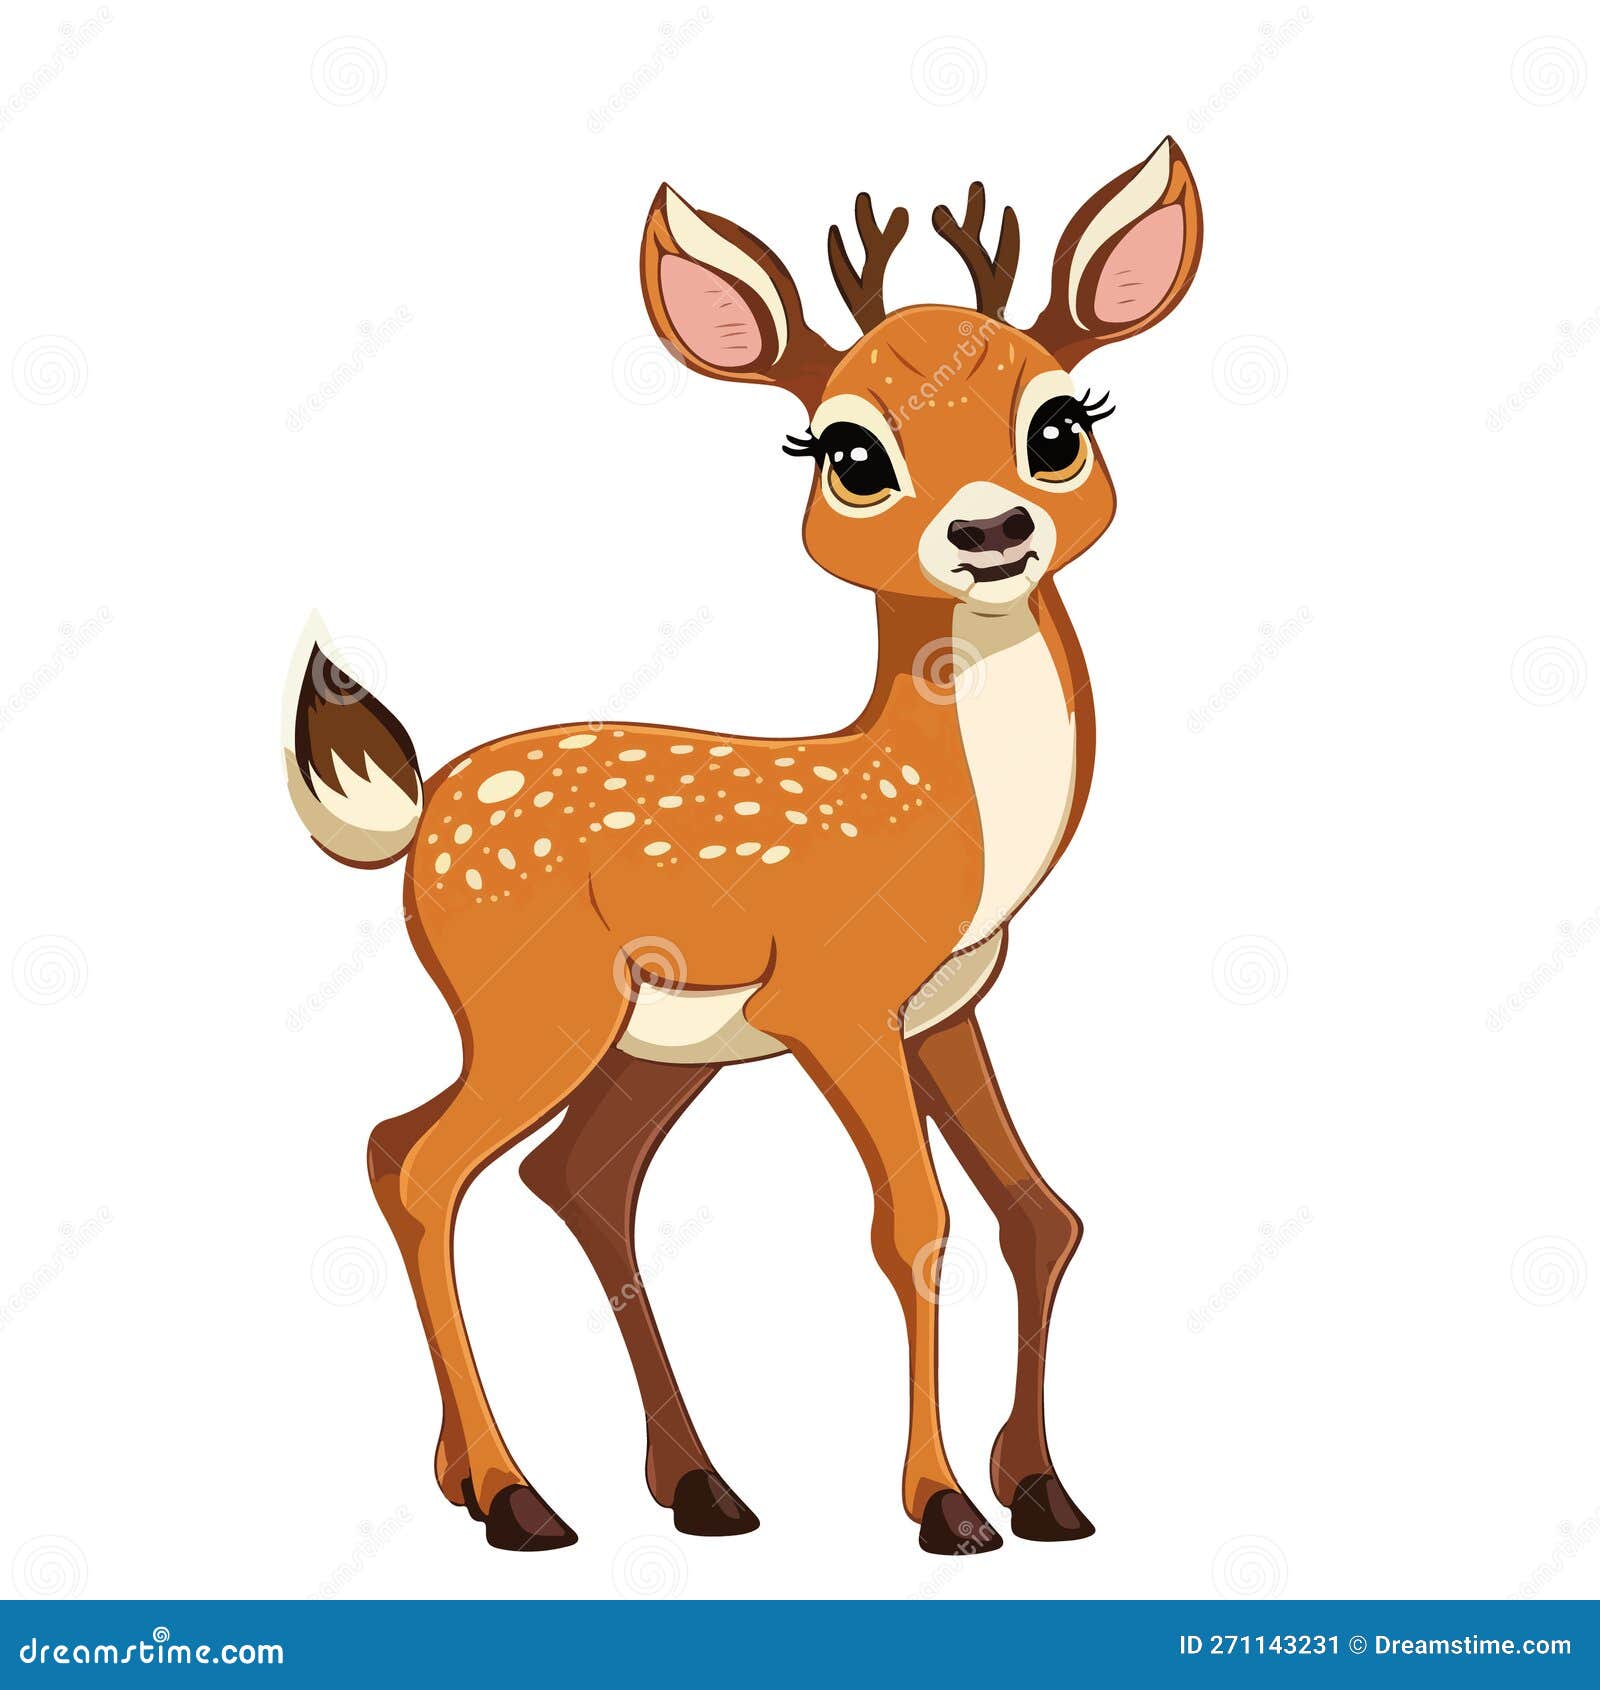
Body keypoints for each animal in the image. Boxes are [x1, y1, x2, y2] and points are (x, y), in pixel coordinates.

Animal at [284, 137, 1202, 1555]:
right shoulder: (837, 996)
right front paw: (944, 1506)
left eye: (1059, 425)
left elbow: (1039, 1214)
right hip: (535, 1004)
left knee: (557, 1174)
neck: (934, 814)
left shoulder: (944, 1004)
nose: (991, 532)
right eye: (849, 451)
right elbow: (915, 1224)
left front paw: (1045, 1490)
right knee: (423, 1162)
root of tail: (420, 811)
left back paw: (679, 1486)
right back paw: (516, 1496)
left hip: (647, 1046)